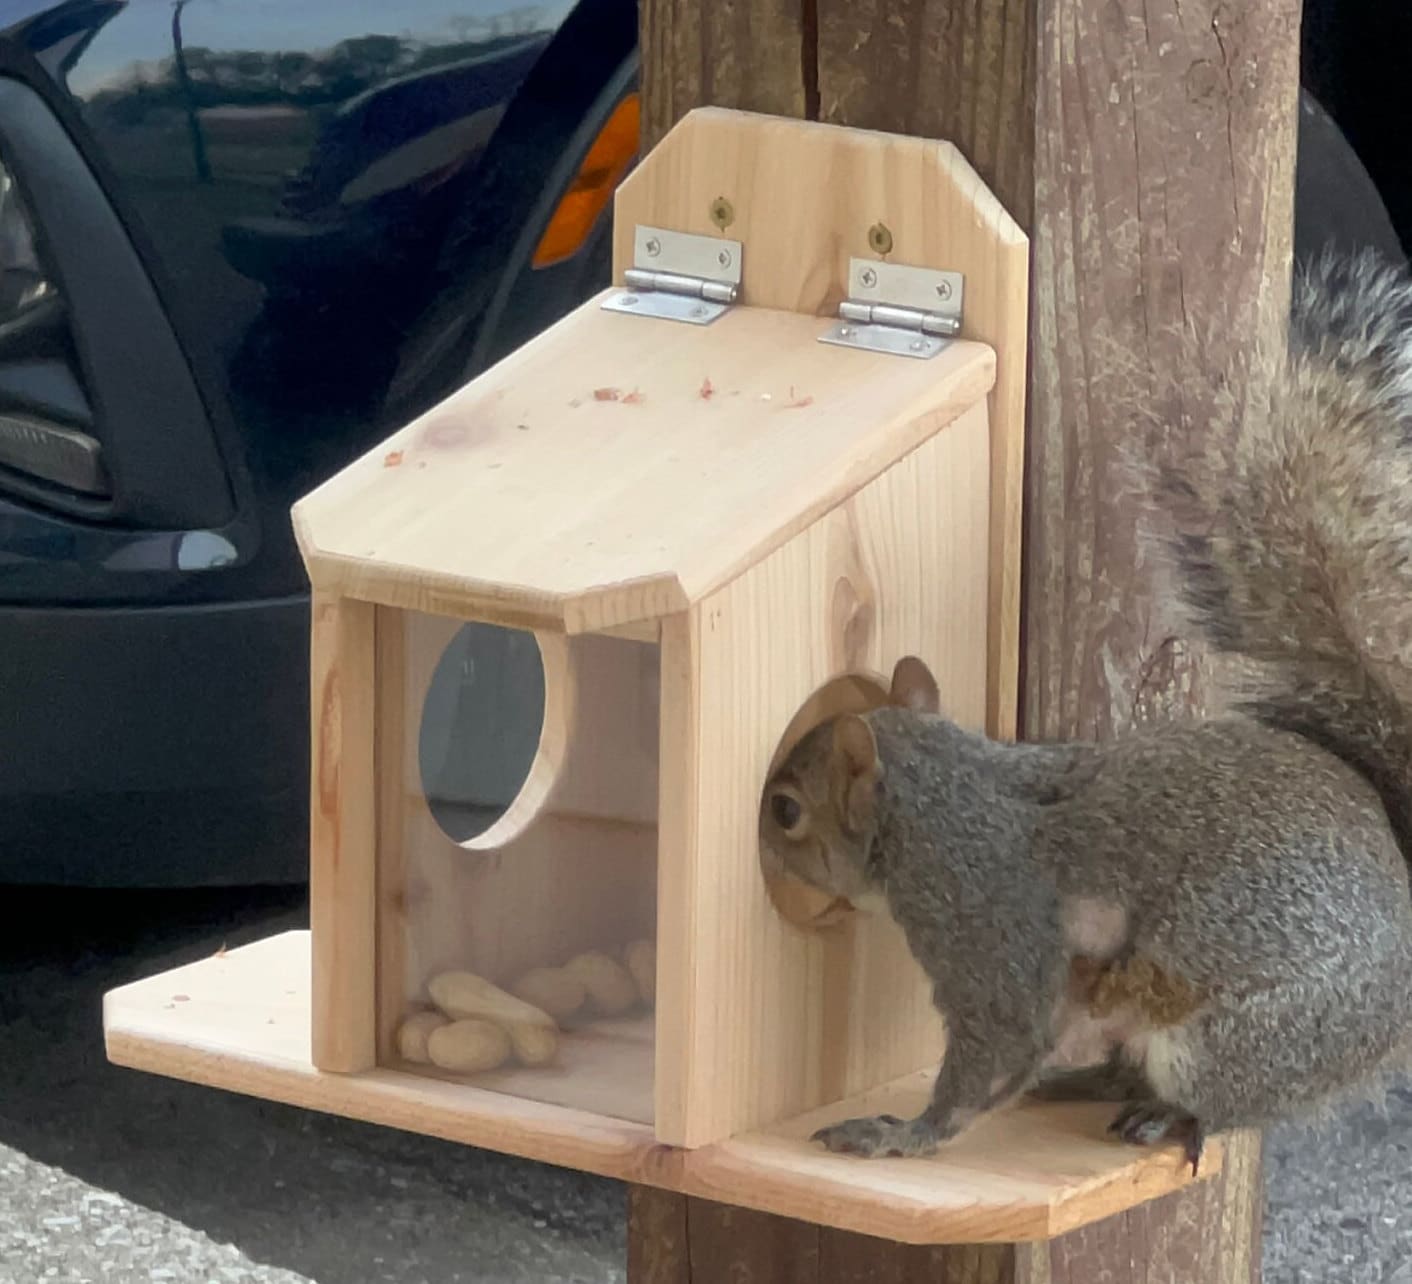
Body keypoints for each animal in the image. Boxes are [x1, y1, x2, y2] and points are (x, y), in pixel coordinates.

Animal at [759, 249, 1412, 1173]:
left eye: (786, 811)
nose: (756, 844)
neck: (942, 797)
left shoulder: (981, 914)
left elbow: (995, 1043)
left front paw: (899, 1134)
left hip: (1244, 1037)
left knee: (1224, 1101)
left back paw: (1162, 1115)